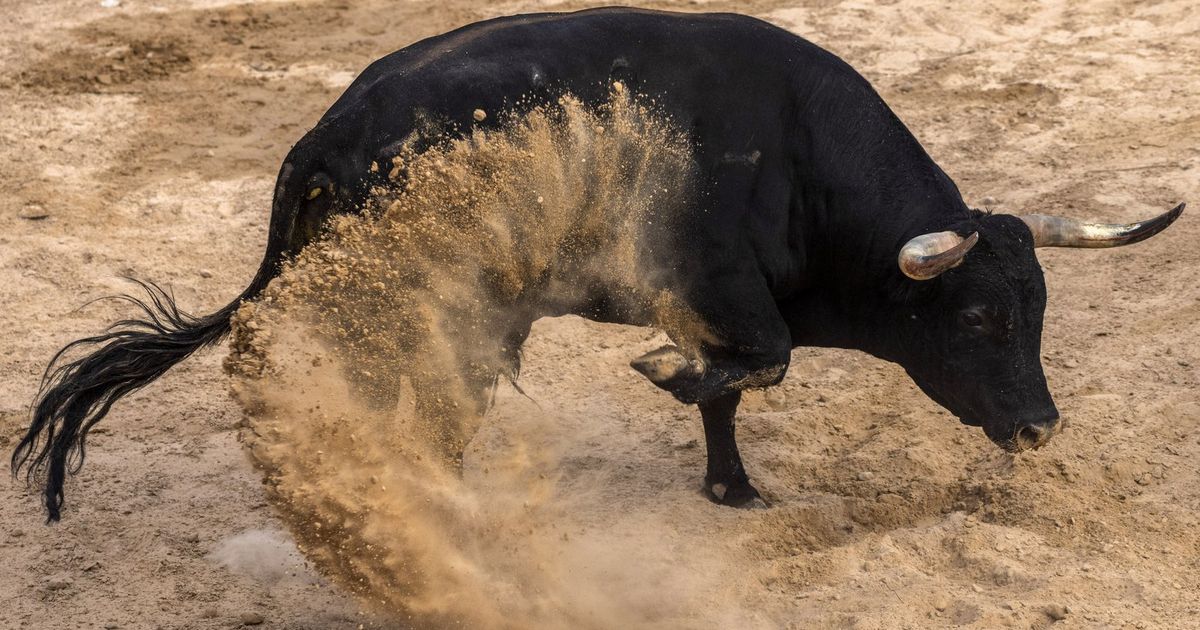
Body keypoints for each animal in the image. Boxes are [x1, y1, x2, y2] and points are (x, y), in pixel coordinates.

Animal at [13, 7, 1184, 520]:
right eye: (982, 319)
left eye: (1041, 314)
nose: (1040, 428)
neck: (797, 158)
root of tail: (325, 134)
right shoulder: (723, 295)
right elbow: (755, 365)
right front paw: (664, 378)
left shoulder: (722, 307)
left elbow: (736, 389)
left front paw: (731, 487)